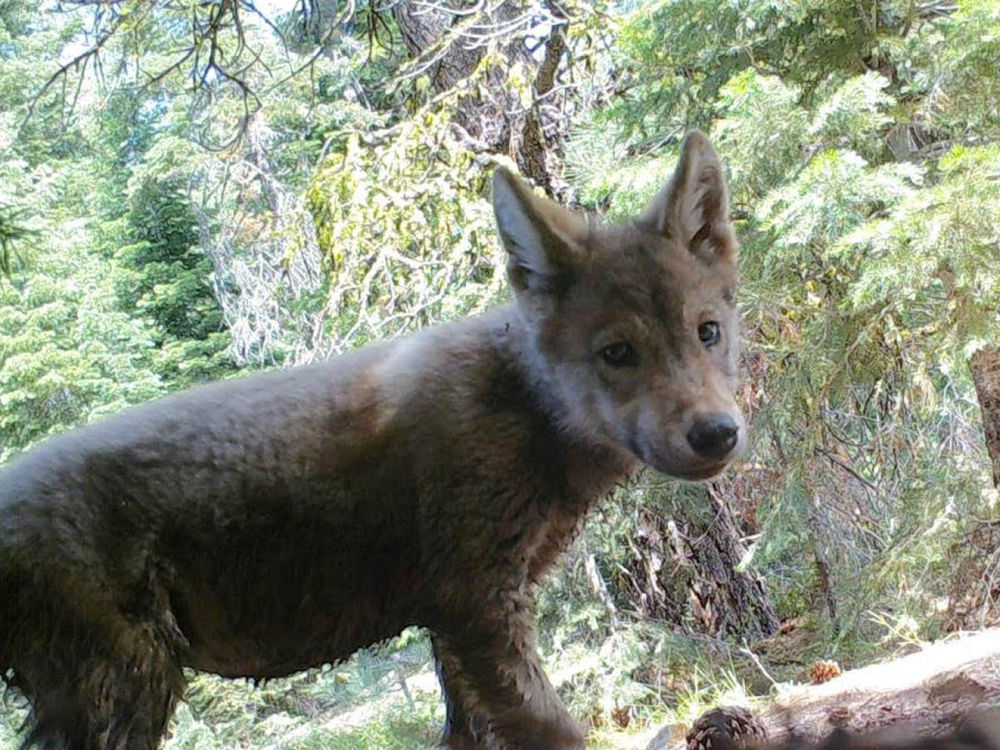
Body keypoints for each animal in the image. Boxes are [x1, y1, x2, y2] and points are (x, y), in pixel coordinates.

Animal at [0, 131, 743, 750]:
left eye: (707, 332)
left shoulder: (460, 627)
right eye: (618, 353)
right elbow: (557, 732)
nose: (718, 434)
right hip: (131, 687)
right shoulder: (479, 610)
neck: (523, 413)